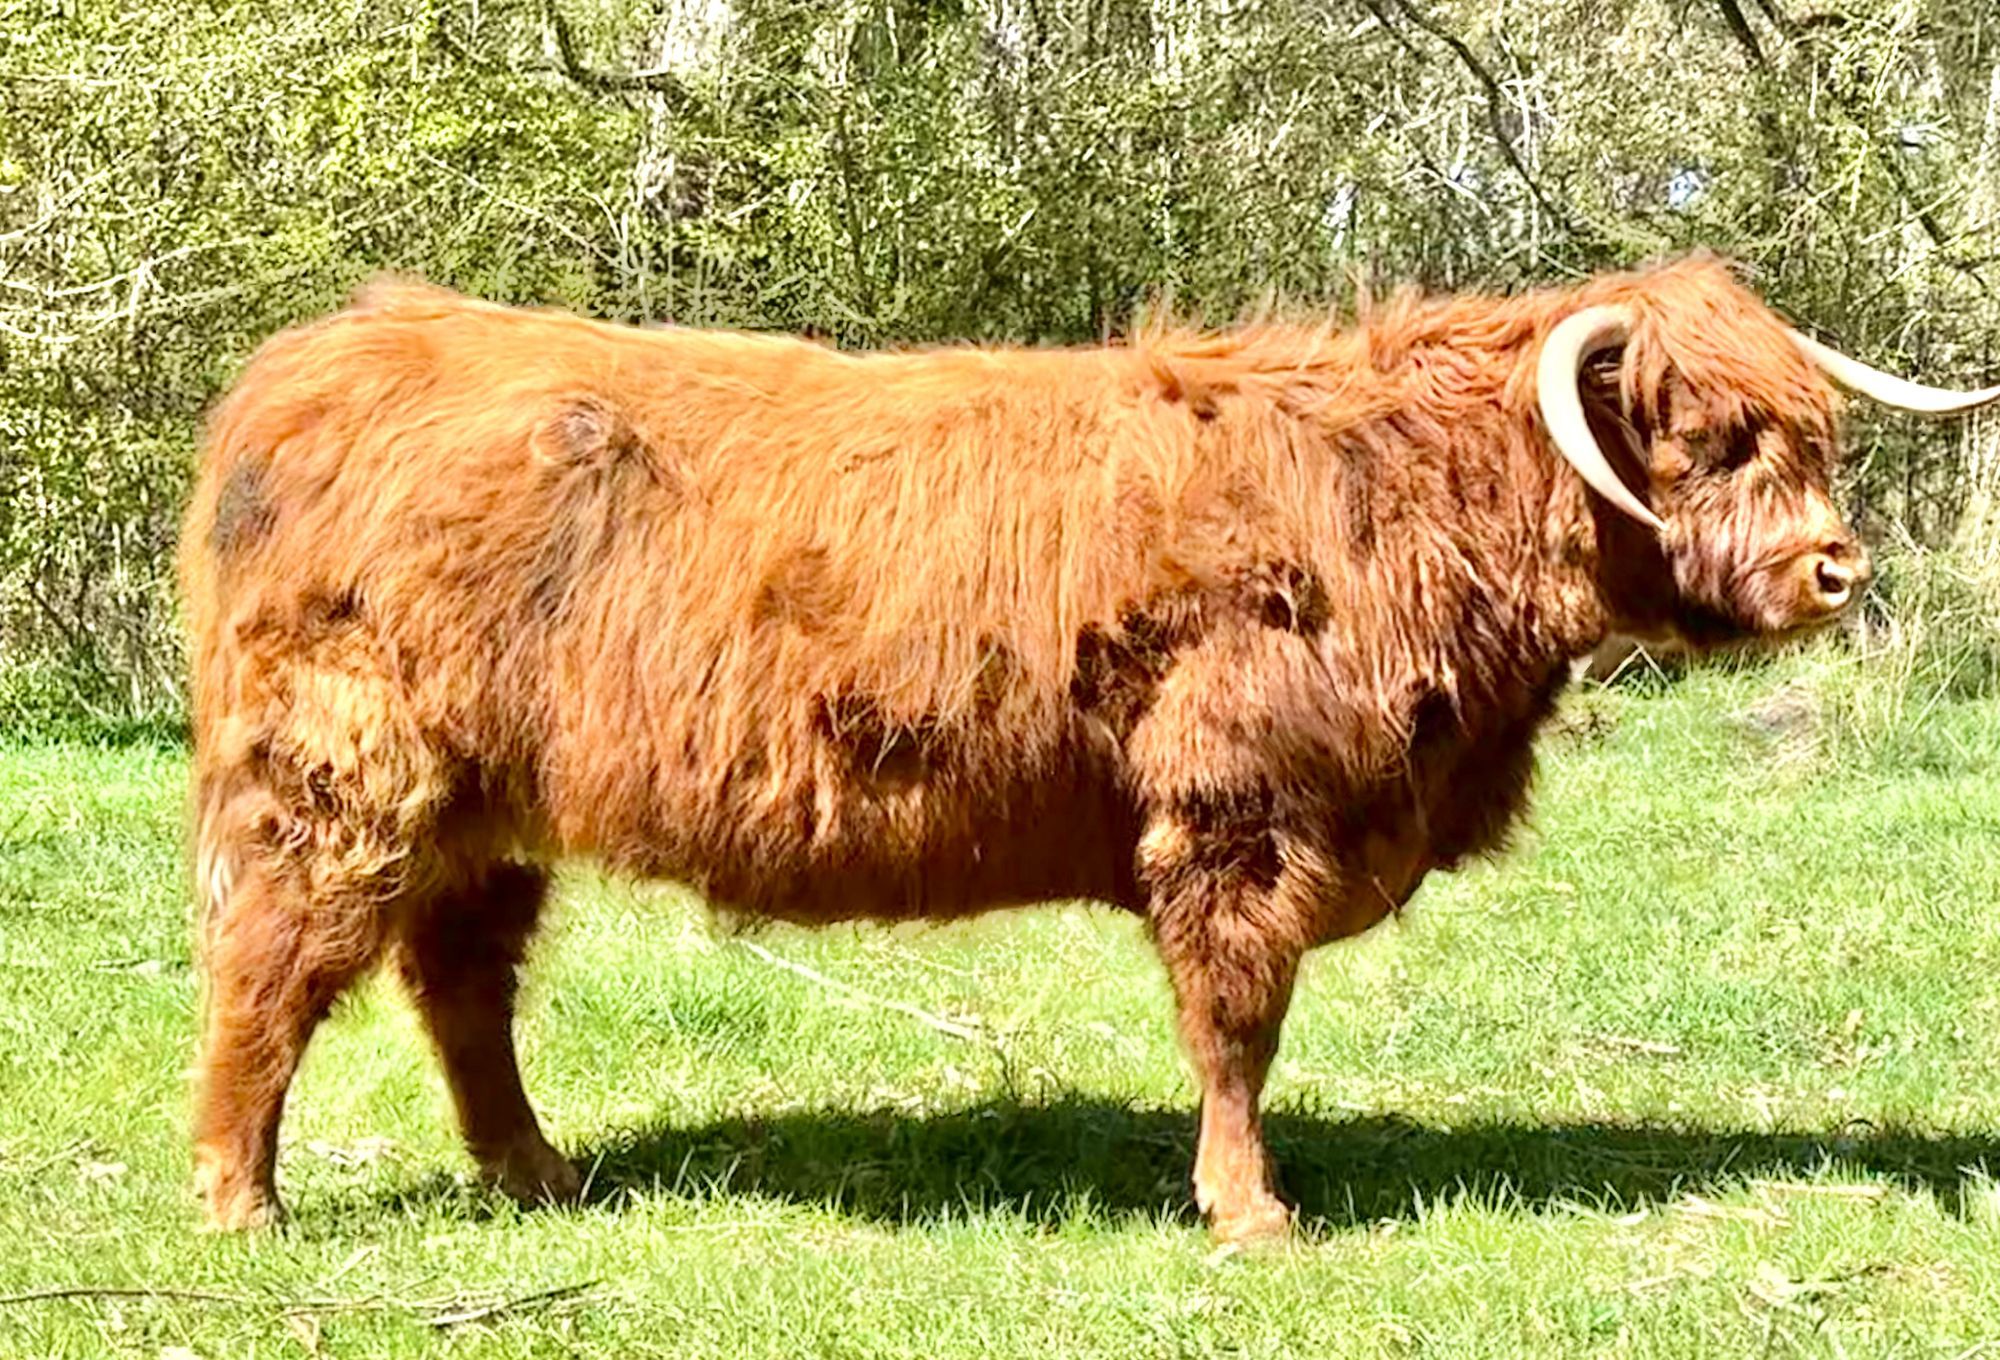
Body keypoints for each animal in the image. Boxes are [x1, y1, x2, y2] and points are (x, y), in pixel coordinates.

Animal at [179, 255, 1999, 1239]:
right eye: (1710, 438)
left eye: (1814, 434)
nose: (1835, 568)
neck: (1406, 504)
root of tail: (334, 353)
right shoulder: (1239, 817)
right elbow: (1237, 1027)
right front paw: (1254, 1214)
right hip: (343, 780)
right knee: (276, 973)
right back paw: (240, 1198)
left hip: (487, 810)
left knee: (460, 984)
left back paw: (535, 1173)